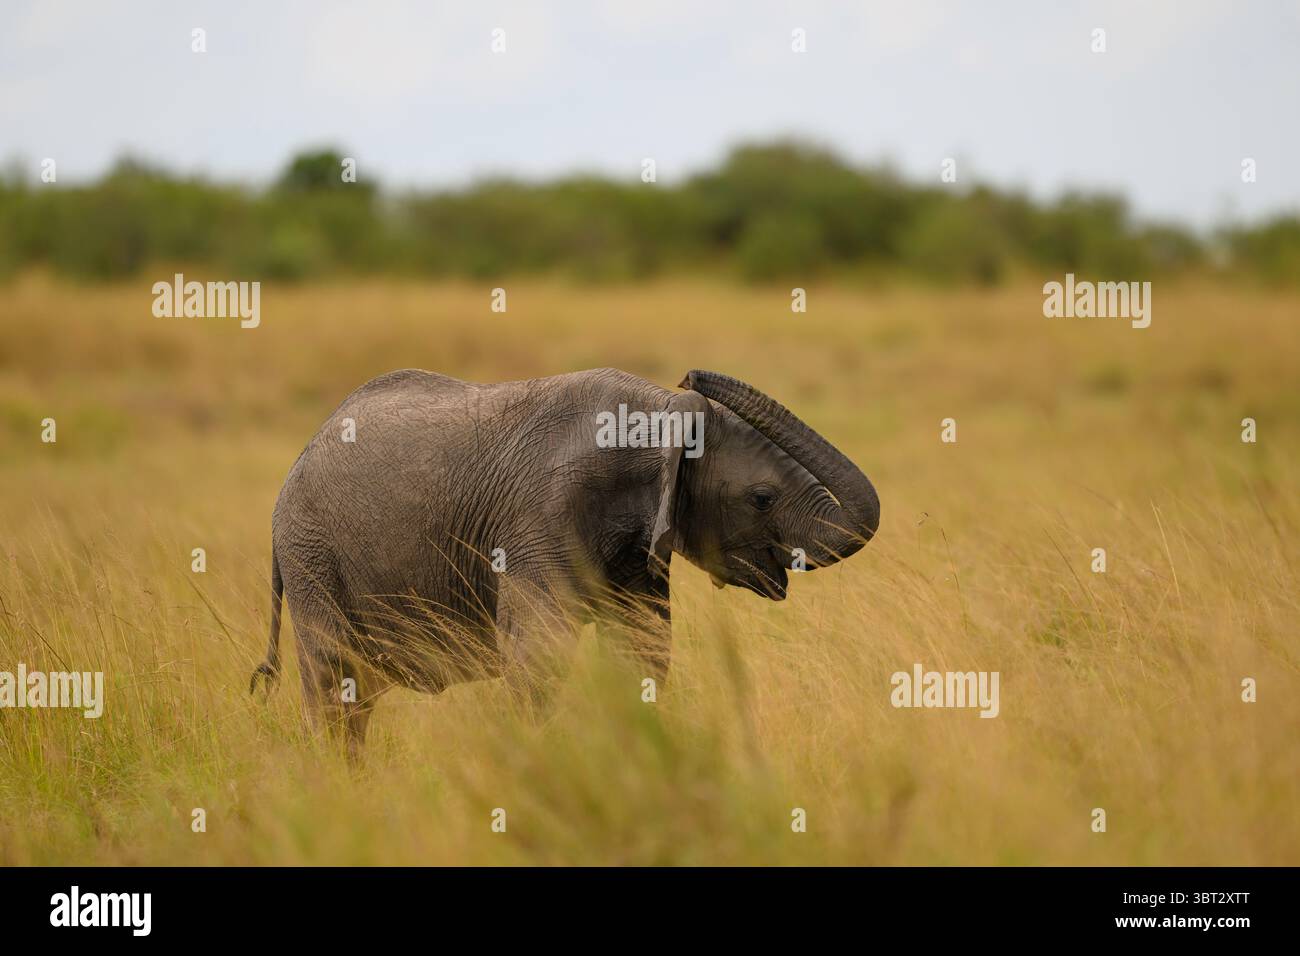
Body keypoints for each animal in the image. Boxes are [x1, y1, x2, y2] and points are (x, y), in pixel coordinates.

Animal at [249, 367, 879, 755]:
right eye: (762, 498)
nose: (691, 376)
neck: (654, 413)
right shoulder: (539, 519)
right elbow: (538, 658)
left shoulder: (636, 550)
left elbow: (643, 651)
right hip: (310, 554)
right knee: (335, 683)